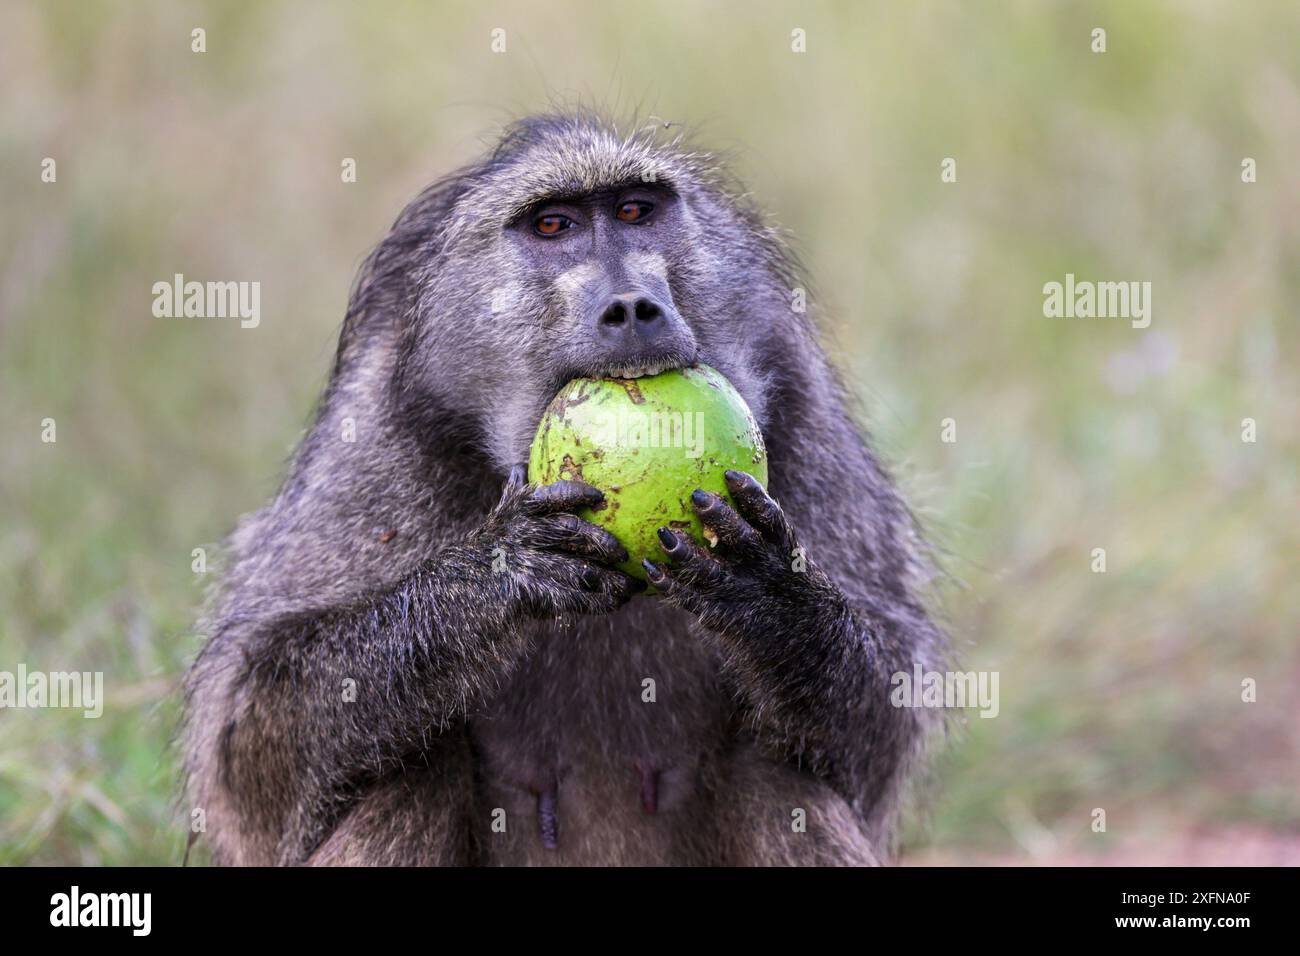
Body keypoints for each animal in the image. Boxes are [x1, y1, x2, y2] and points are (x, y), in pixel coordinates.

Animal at [182, 112, 947, 866]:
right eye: (553, 225)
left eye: (637, 211)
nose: (632, 306)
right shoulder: (373, 438)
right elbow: (245, 733)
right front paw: (503, 570)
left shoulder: (800, 408)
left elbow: (878, 735)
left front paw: (771, 597)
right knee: (411, 778)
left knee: (775, 775)